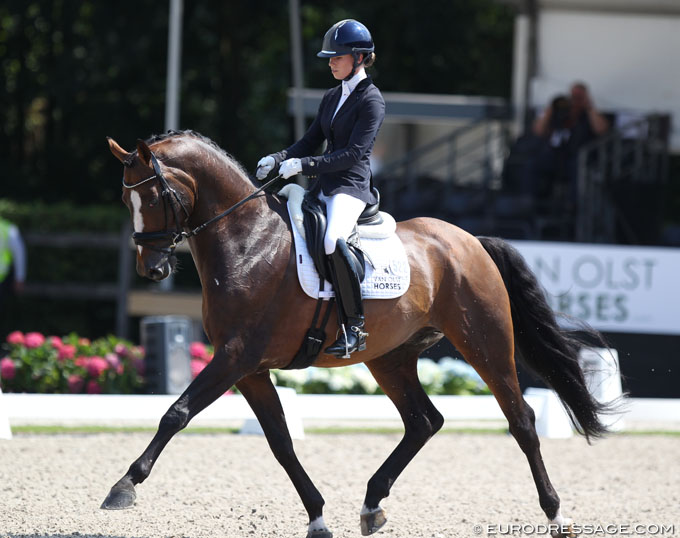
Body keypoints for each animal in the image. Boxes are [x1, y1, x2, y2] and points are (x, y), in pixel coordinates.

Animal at [103, 130, 611, 538]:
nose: (153, 269)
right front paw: (317, 517)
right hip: (389, 357)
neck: (247, 242)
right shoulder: (249, 370)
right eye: (125, 202)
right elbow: (281, 442)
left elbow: (176, 413)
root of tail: (470, 241)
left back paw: (556, 516)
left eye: (154, 198)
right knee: (424, 421)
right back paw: (371, 505)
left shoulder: (235, 358)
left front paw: (124, 486)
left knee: (521, 420)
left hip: (485, 342)